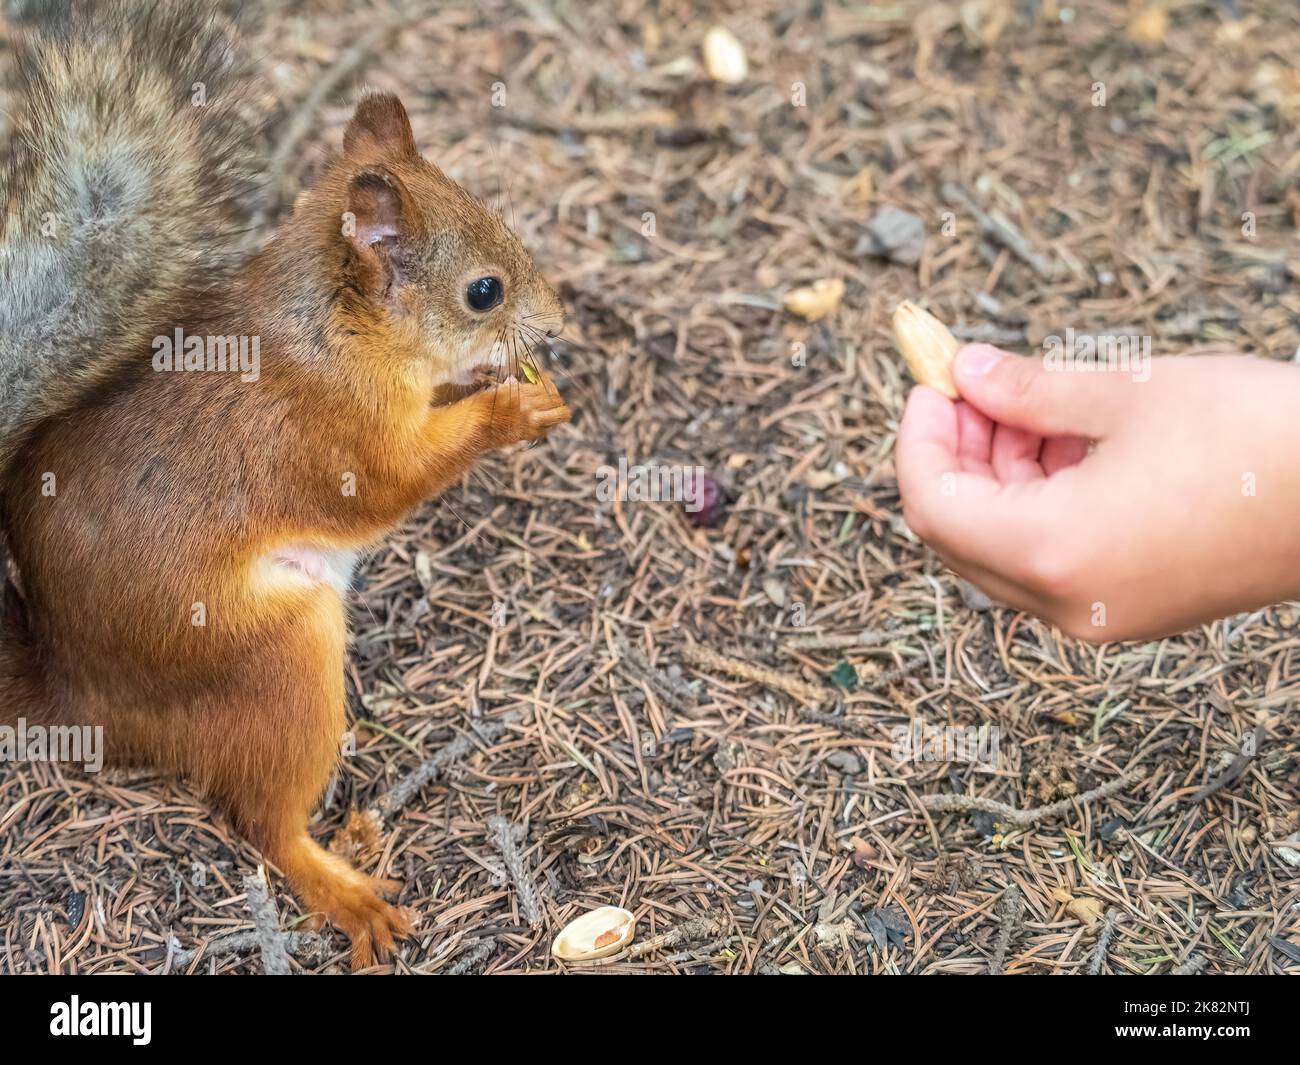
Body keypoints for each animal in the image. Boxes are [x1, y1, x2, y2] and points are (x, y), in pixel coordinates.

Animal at [0, 2, 569, 967]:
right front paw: (510, 408)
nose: (559, 321)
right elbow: (393, 483)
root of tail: (76, 692)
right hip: (275, 657)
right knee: (263, 820)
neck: (335, 331)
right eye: (484, 291)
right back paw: (342, 888)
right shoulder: (334, 438)